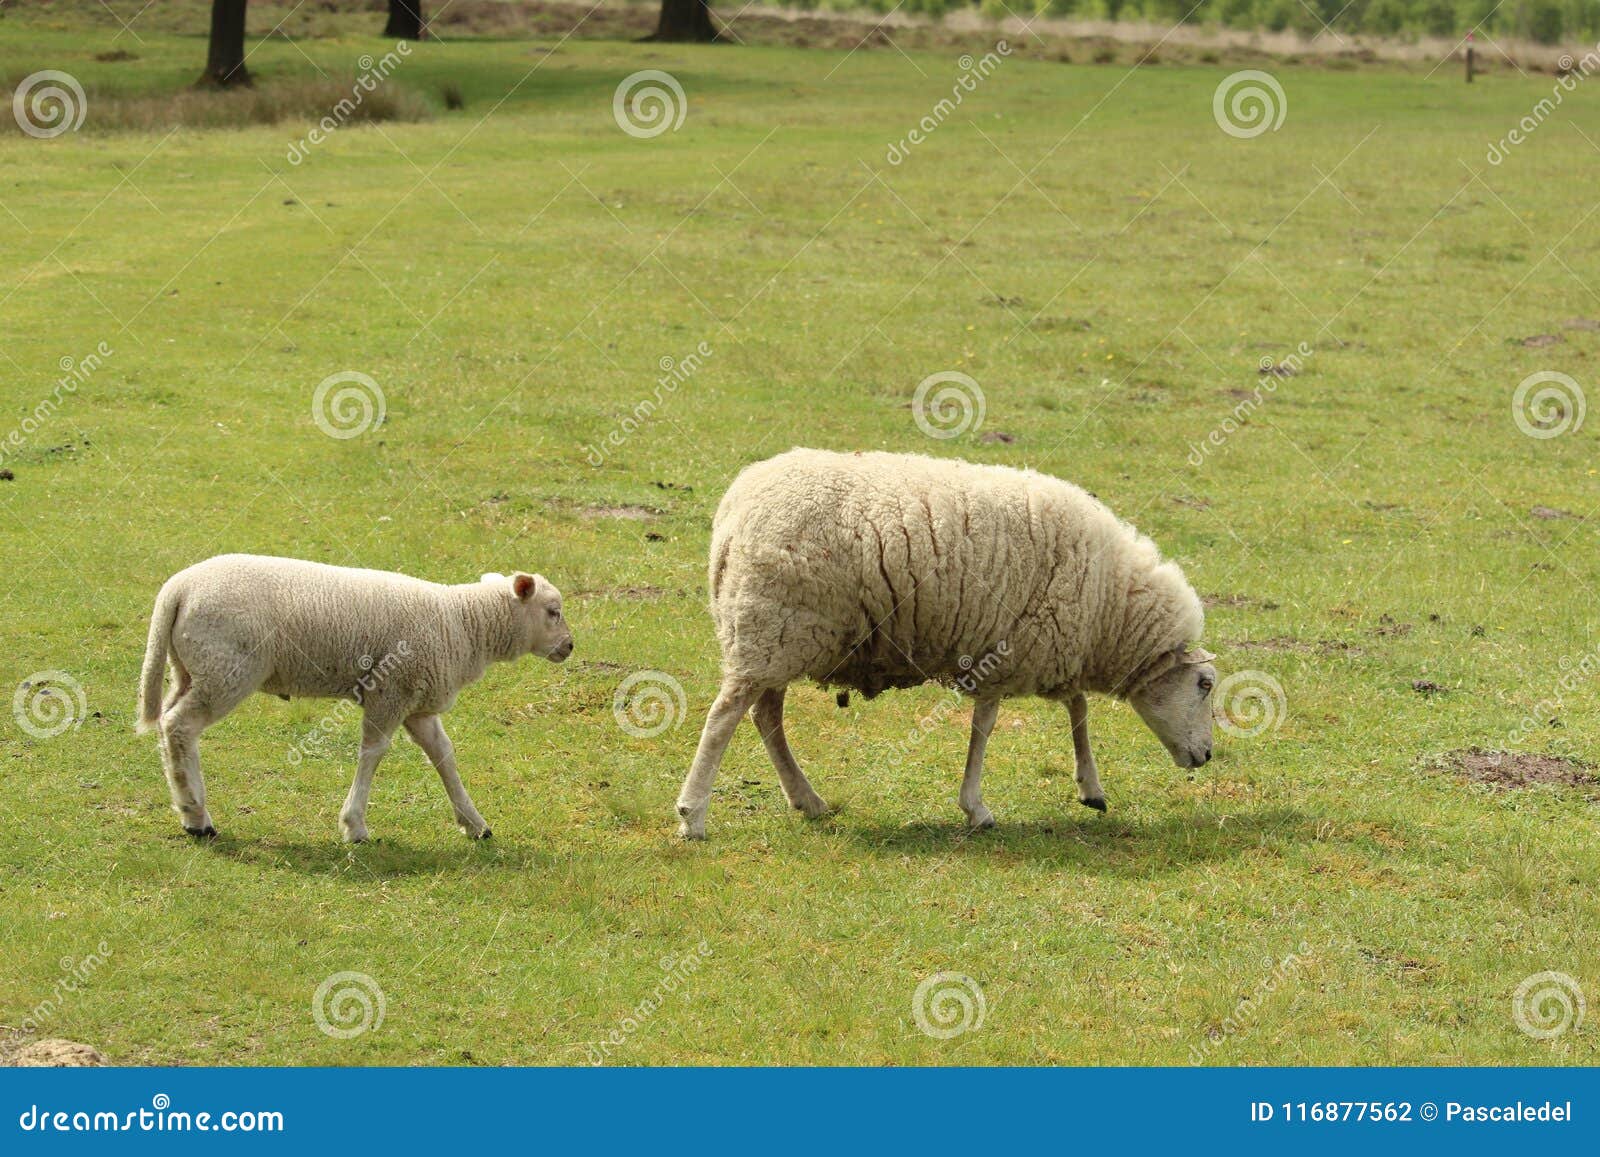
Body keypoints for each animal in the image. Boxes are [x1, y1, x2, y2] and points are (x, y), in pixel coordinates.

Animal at [136, 555, 574, 842]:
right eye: (553, 611)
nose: (570, 646)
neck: (466, 623)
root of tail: (177, 590)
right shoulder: (390, 690)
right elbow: (373, 753)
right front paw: (355, 825)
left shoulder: (417, 704)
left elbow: (444, 756)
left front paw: (474, 822)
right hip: (228, 669)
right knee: (180, 725)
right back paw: (197, 814)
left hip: (191, 669)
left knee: (170, 728)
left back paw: (186, 806)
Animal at [675, 448, 1217, 838]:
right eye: (1206, 684)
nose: (1208, 756)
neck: (1110, 602)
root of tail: (733, 514)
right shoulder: (1006, 651)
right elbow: (987, 728)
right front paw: (976, 808)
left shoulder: (1048, 645)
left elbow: (1076, 706)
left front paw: (1091, 788)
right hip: (774, 627)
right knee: (725, 717)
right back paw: (692, 815)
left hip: (778, 635)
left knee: (765, 716)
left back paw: (807, 801)